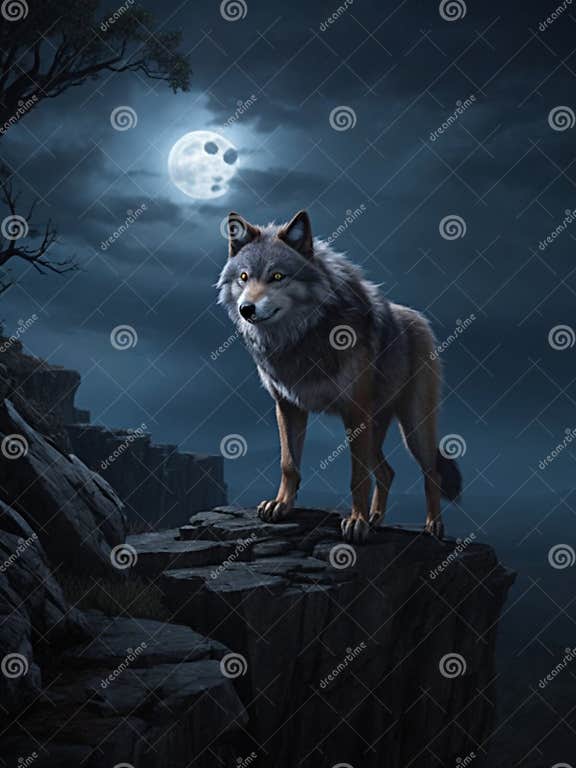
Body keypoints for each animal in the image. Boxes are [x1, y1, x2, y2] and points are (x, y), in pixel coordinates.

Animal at [217, 210, 462, 544]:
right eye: (243, 277)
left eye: (277, 276)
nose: (246, 309)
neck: (301, 338)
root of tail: (418, 317)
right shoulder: (288, 406)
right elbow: (288, 463)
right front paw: (282, 505)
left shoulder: (353, 412)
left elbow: (357, 476)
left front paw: (356, 522)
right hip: (377, 428)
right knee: (387, 472)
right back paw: (376, 519)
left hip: (413, 428)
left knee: (431, 472)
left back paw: (432, 526)